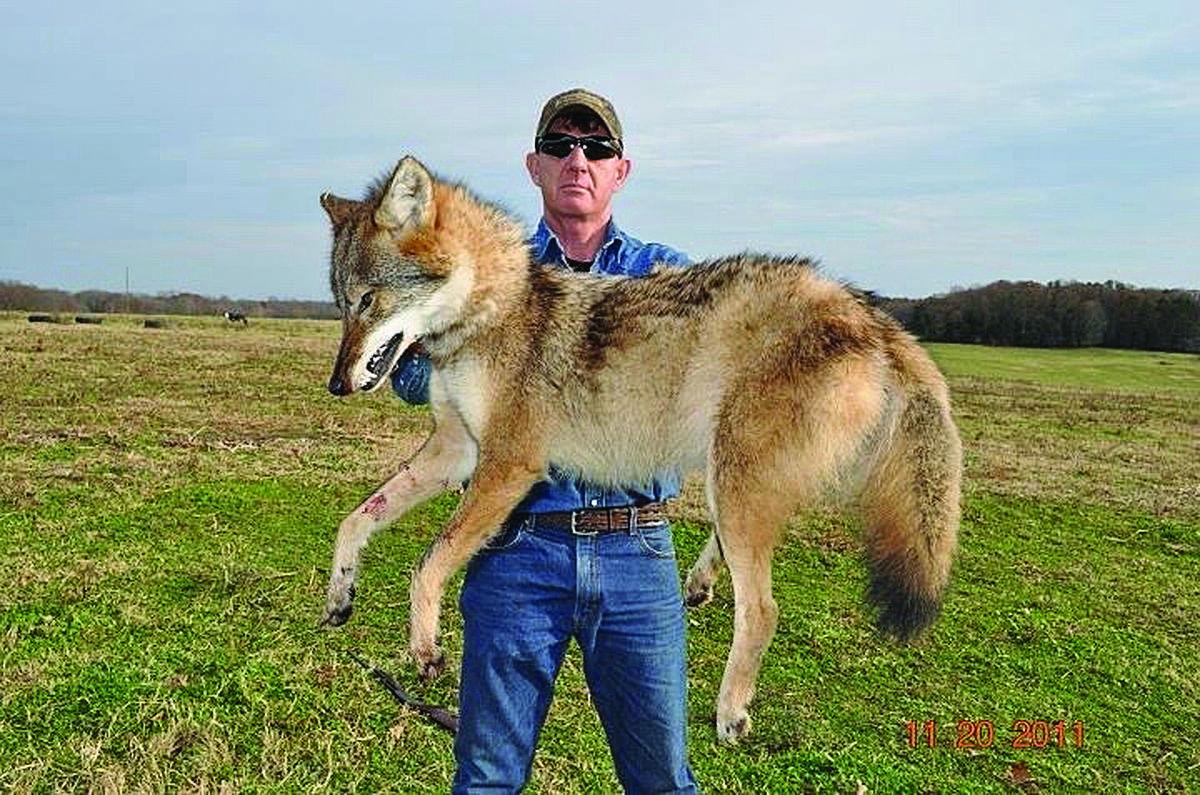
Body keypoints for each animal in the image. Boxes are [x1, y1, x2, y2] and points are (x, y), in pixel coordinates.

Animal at [317, 156, 961, 742]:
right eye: (342, 304)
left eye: (370, 300)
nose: (337, 385)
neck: (493, 311)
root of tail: (869, 312)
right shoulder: (456, 451)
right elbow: (355, 519)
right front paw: (340, 592)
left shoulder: (507, 465)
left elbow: (427, 565)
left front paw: (425, 647)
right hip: (725, 472)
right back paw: (699, 584)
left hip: (734, 475)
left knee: (761, 610)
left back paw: (730, 713)